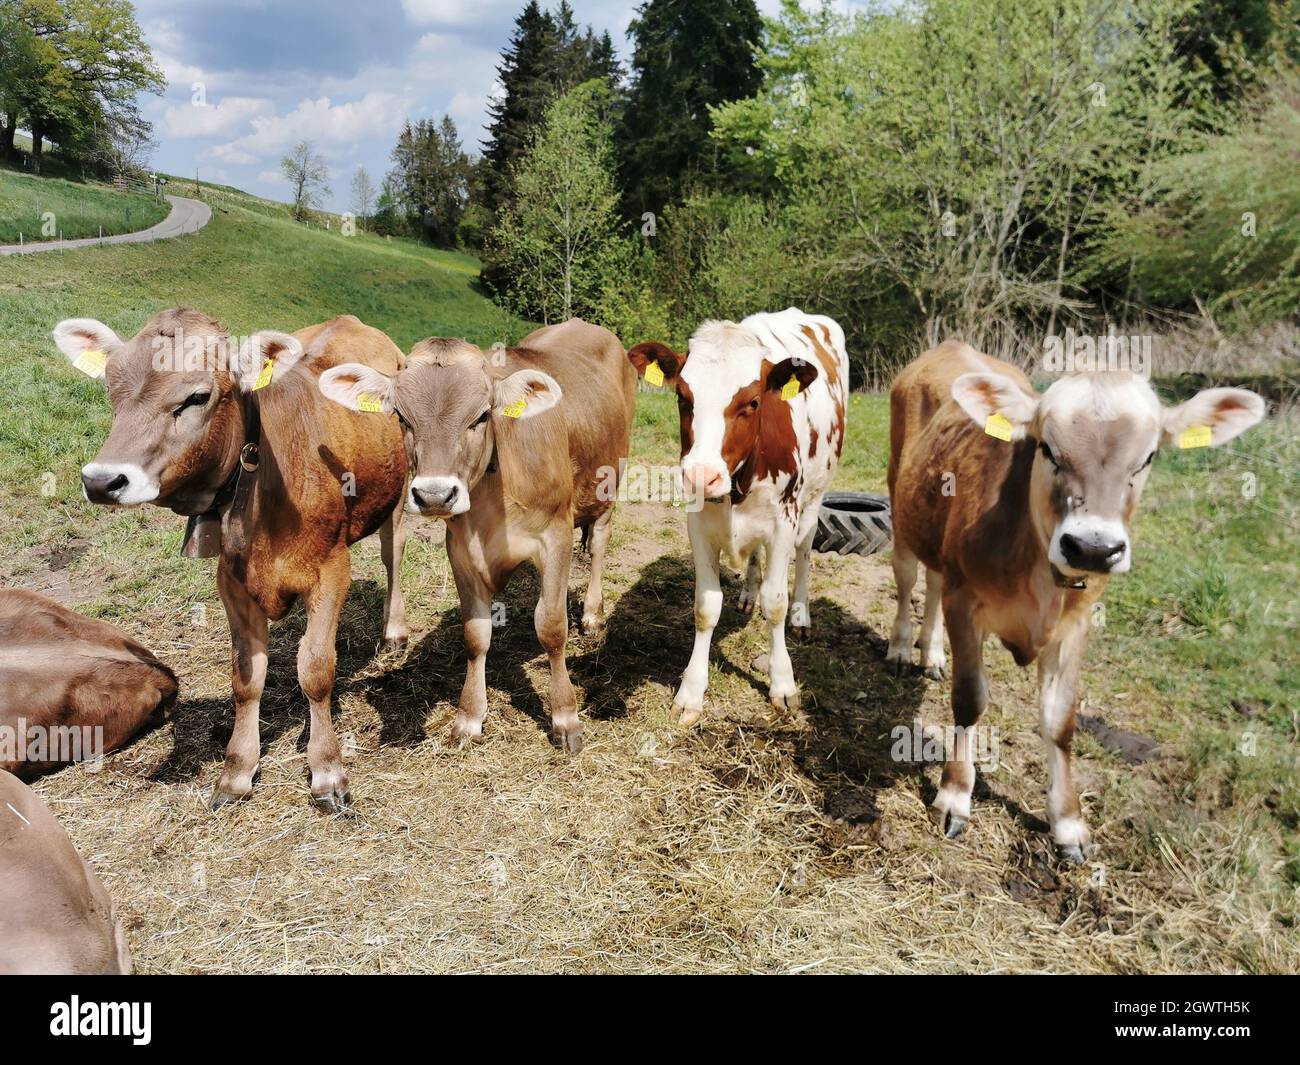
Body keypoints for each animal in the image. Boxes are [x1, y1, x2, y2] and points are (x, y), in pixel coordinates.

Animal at [52, 309, 409, 811]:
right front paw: (237, 769)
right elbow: (245, 676)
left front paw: (327, 770)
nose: (102, 481)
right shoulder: (232, 581)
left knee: (393, 553)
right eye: (110, 389)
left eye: (198, 396)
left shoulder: (331, 567)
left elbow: (316, 669)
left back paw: (394, 630)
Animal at [318, 318, 636, 753]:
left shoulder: (556, 534)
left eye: (481, 416)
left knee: (600, 542)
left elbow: (552, 627)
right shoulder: (461, 549)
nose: (435, 495)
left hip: (609, 484)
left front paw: (565, 717)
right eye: (401, 416)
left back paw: (591, 614)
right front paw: (469, 716)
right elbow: (474, 634)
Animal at [626, 308, 849, 724]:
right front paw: (691, 691)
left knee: (806, 551)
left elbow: (775, 603)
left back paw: (801, 616)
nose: (701, 475)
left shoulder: (783, 523)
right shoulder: (698, 524)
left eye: (754, 401)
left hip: (815, 497)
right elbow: (705, 607)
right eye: (682, 396)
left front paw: (782, 683)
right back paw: (748, 593)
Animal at [888, 339, 1265, 860]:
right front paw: (955, 795)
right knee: (908, 580)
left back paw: (932, 654)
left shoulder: (1076, 623)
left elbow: (1060, 721)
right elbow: (970, 700)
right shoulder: (967, 603)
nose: (1092, 547)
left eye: (1148, 457)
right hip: (900, 505)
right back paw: (902, 649)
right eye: (1047, 447)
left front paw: (1067, 822)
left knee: (934, 581)